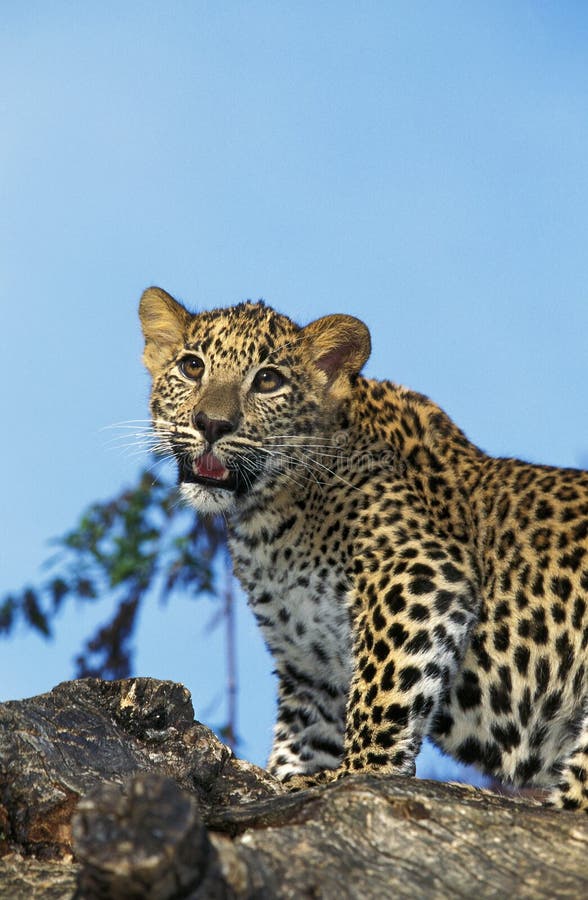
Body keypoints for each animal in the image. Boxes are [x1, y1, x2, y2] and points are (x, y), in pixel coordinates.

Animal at [139, 285, 588, 812]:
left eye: (268, 380)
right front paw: (292, 777)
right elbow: (303, 736)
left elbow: (383, 692)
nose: (211, 424)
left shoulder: (420, 575)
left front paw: (360, 775)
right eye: (191, 367)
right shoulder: (310, 669)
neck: (272, 520)